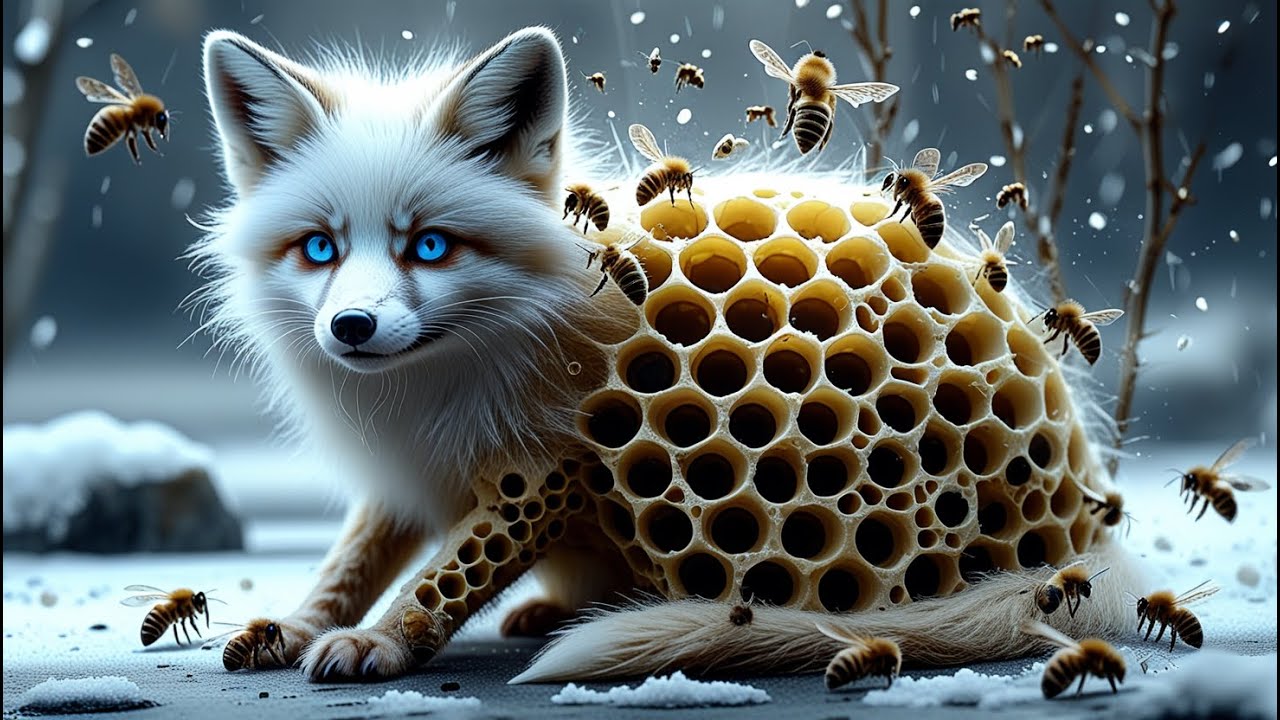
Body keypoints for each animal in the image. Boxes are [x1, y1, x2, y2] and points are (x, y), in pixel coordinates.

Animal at [193, 27, 1137, 684]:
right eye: (319, 249)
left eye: (429, 246)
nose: (351, 327)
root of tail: (1087, 532)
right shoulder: (412, 471)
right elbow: (352, 562)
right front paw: (300, 626)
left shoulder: (545, 474)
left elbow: (444, 578)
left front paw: (382, 641)